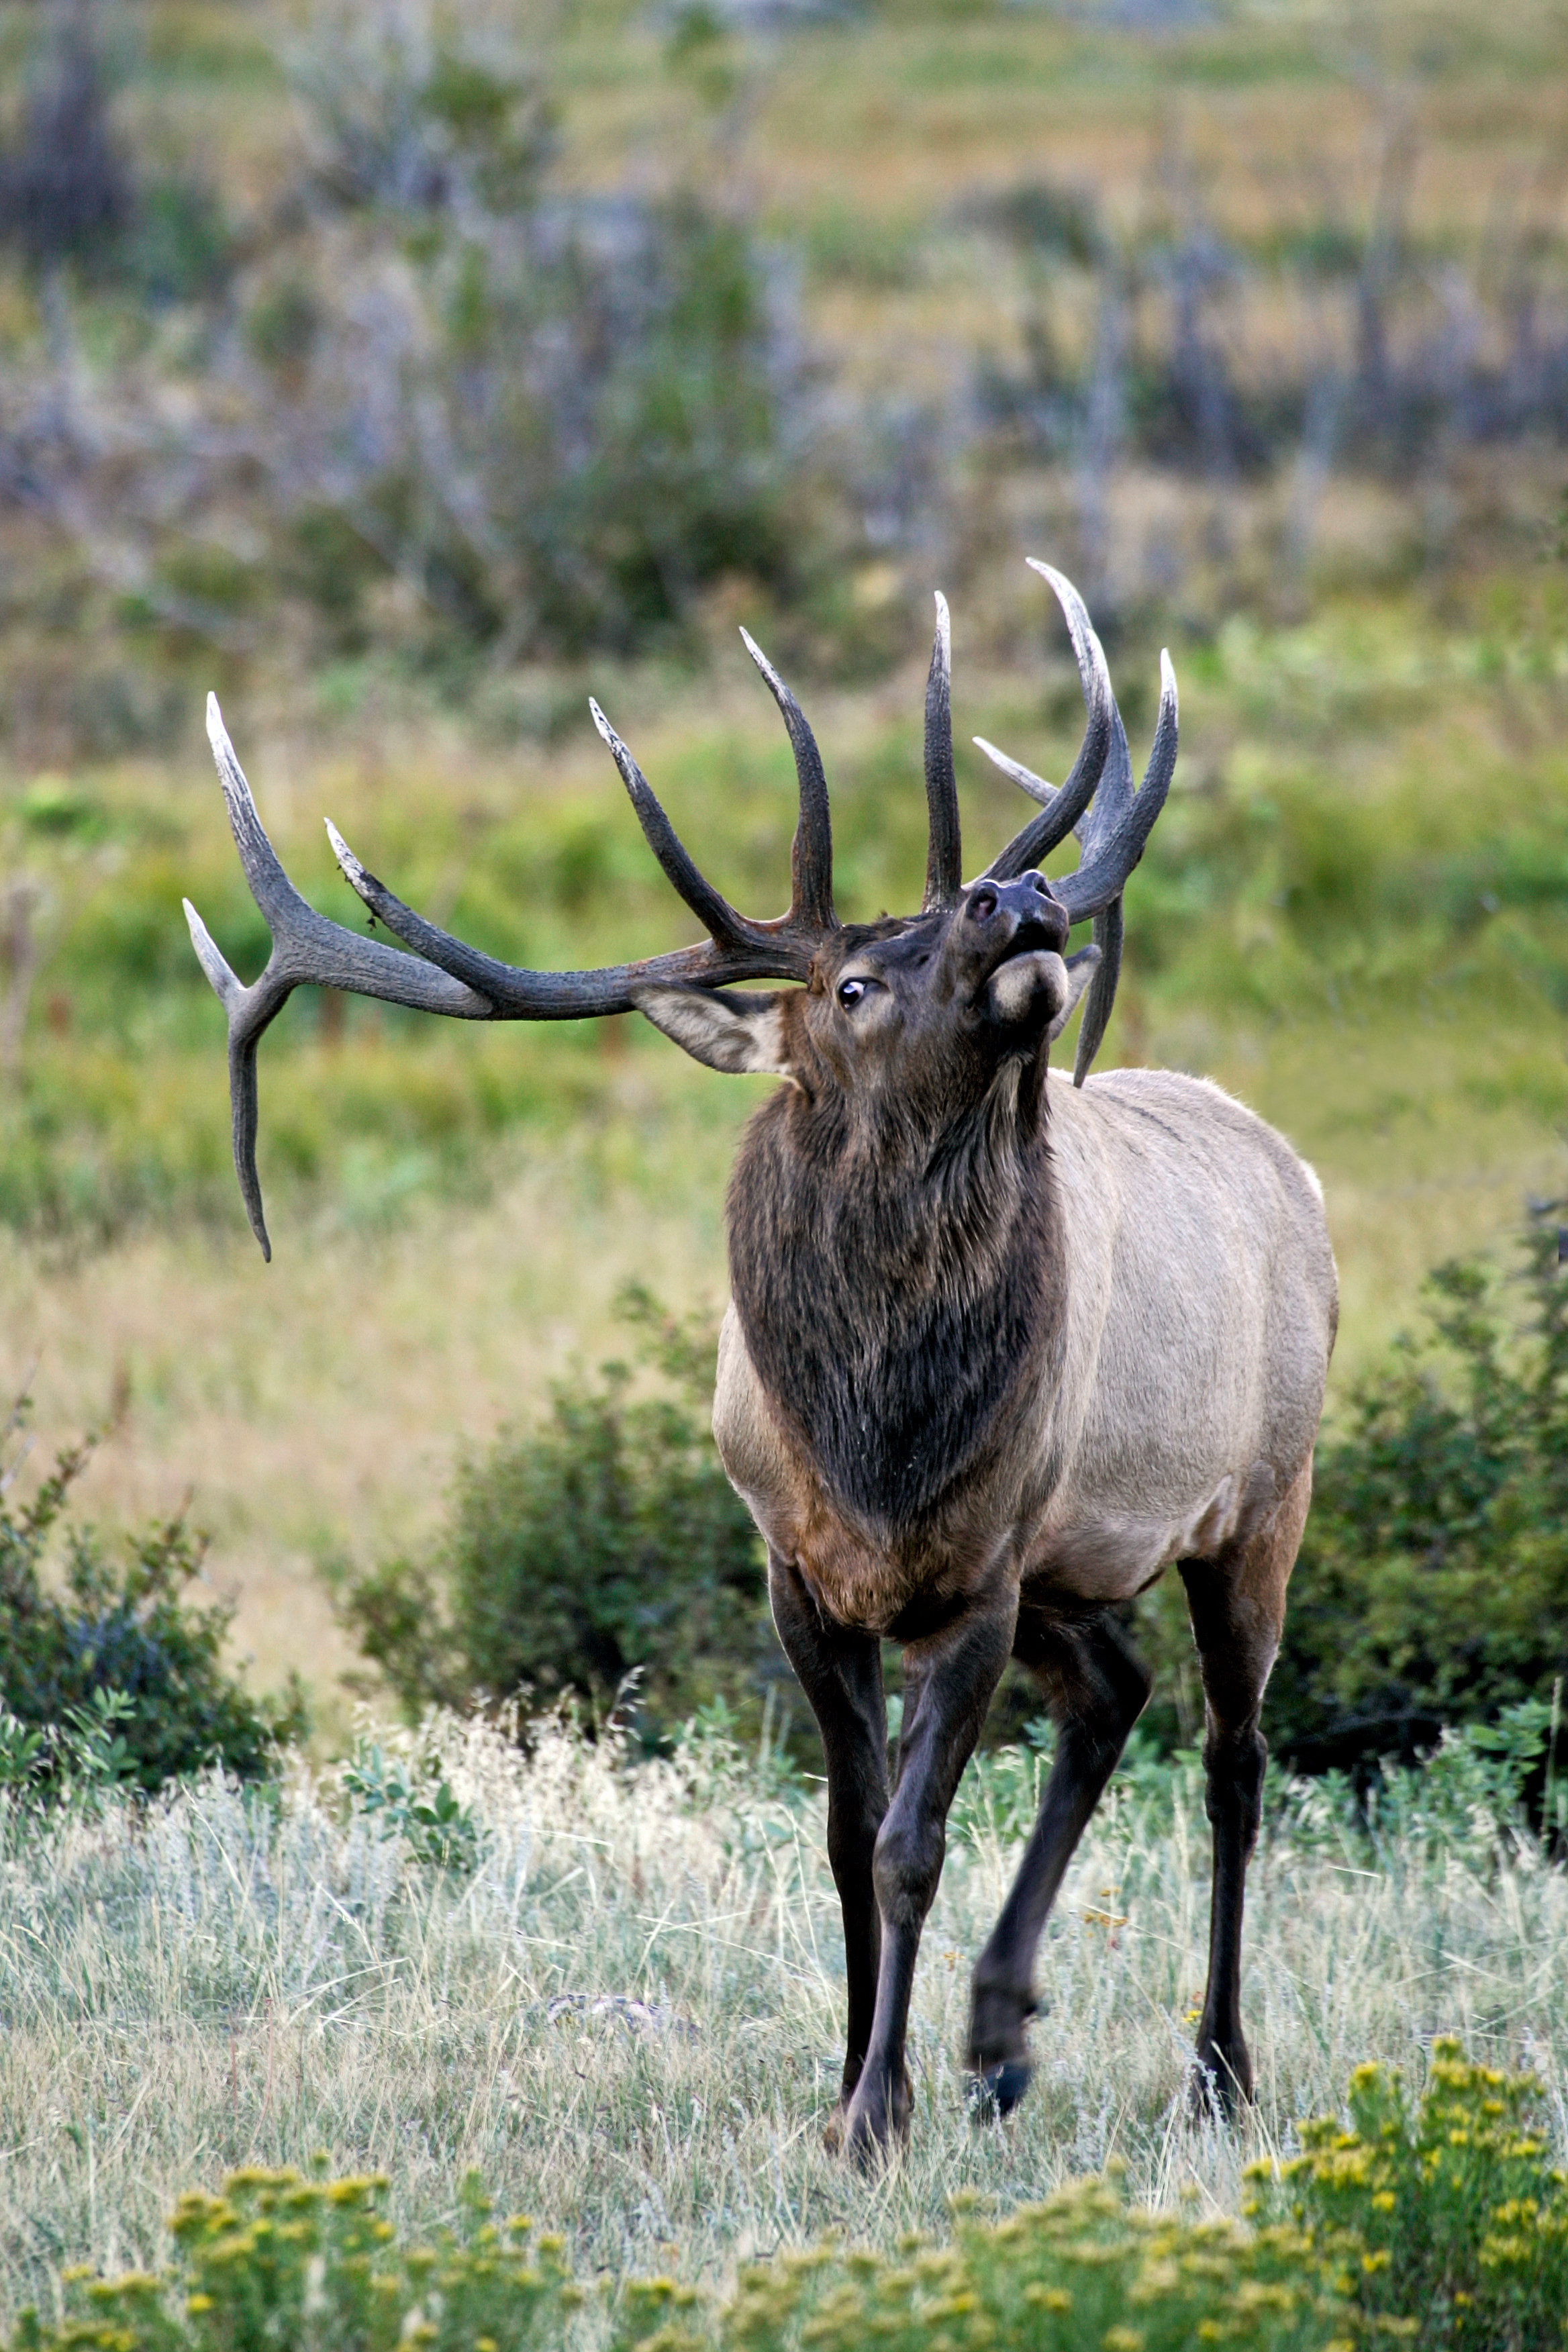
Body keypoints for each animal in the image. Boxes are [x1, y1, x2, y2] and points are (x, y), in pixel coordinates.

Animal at [185, 561, 1337, 2163]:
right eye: (852, 982)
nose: (1019, 896)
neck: (875, 1441)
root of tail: (1288, 1162)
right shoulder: (802, 1566)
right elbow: (846, 1839)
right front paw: (856, 2078)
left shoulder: (979, 1567)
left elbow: (912, 1841)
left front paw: (876, 2114)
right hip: (1075, 1569)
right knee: (1112, 1691)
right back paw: (999, 2041)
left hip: (1259, 1501)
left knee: (1236, 1761)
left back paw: (1218, 2069)